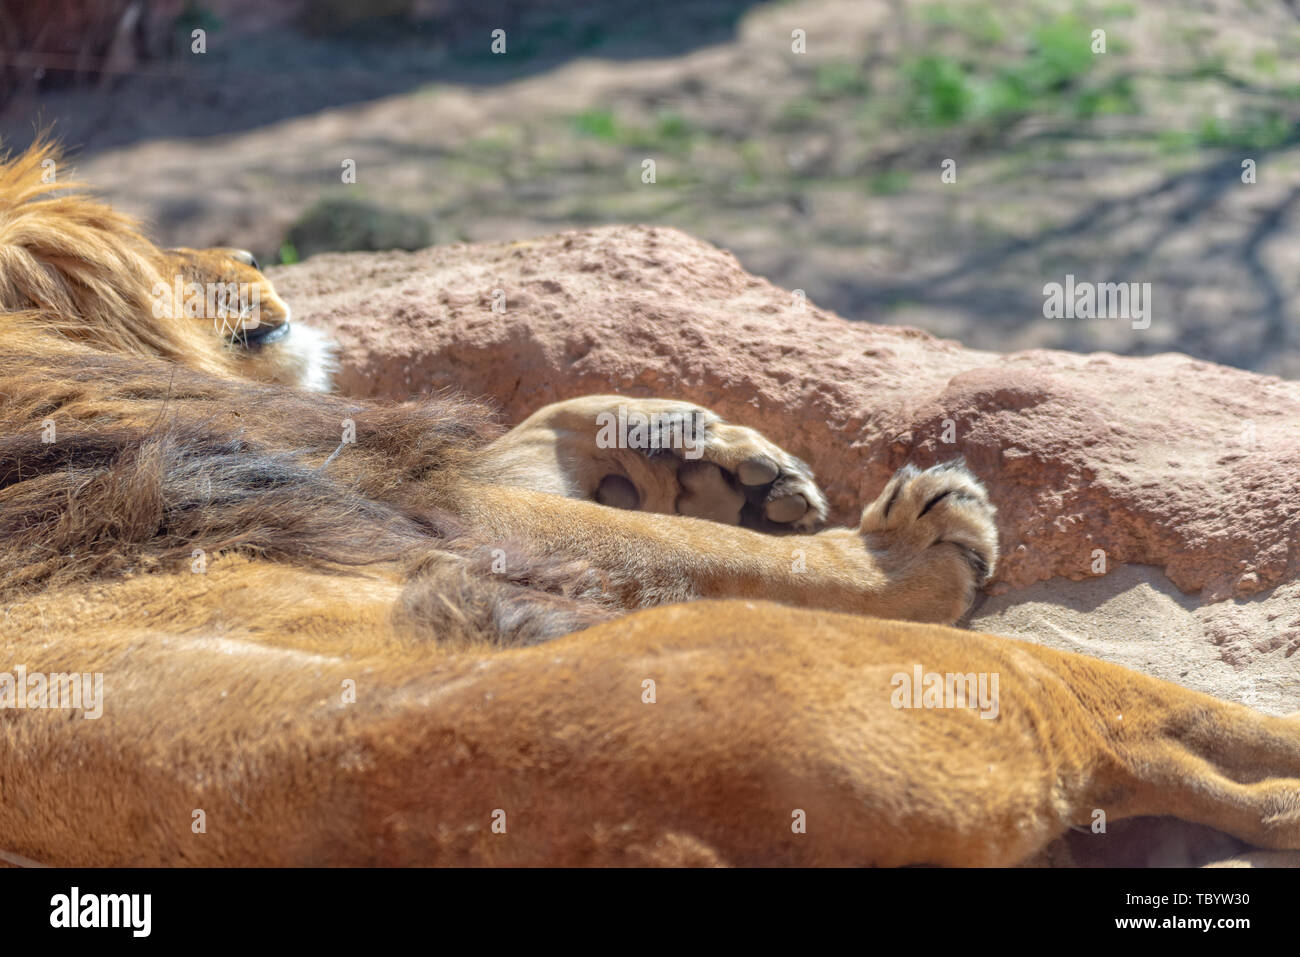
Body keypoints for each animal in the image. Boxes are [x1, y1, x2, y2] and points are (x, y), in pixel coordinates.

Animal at [1, 138, 1297, 867]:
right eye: (157, 248)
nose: (251, 260)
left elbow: (556, 441)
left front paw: (706, 460)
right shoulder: (434, 507)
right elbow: (648, 534)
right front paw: (898, 554)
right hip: (970, 681)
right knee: (1173, 733)